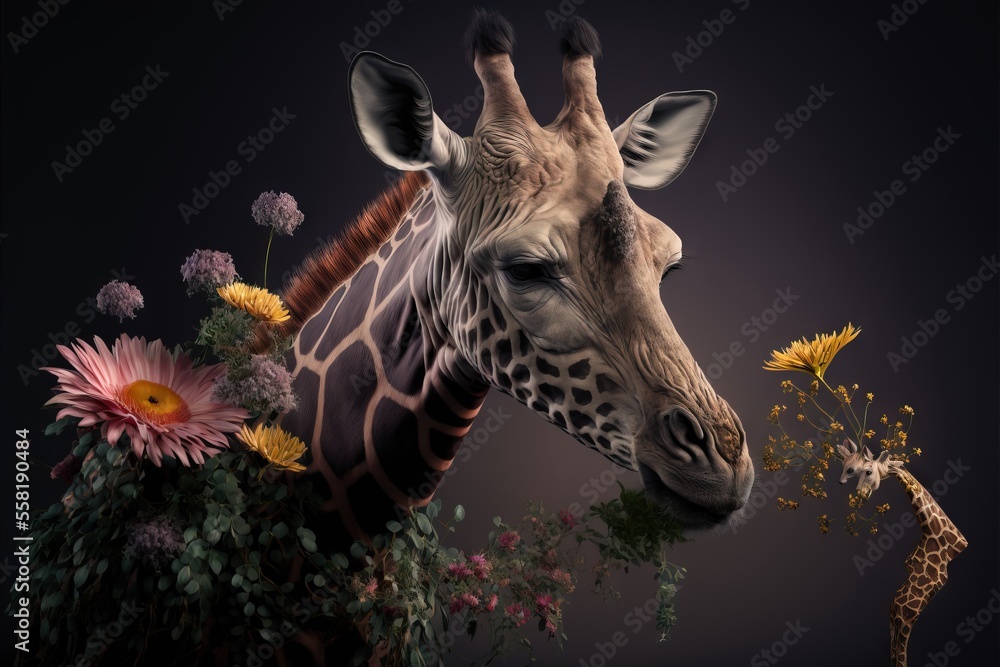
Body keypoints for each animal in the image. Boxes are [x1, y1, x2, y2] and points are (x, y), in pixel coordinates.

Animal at [855, 452, 968, 667]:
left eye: (869, 471)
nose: (861, 494)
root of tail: (896, 608)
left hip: (903, 617)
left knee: (899, 650)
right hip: (897, 617)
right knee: (896, 650)